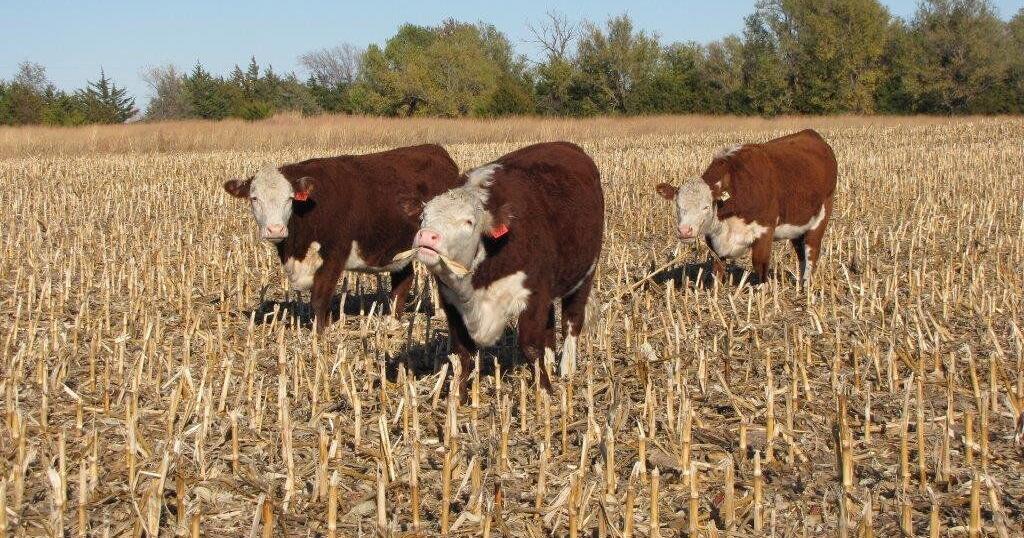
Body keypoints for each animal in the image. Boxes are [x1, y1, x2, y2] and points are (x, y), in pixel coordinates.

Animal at [223, 144, 461, 329]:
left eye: (289, 198)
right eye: (254, 198)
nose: (275, 230)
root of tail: (436, 150)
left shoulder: (333, 256)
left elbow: (319, 300)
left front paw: (319, 338)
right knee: (404, 279)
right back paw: (392, 321)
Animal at [408, 142, 604, 393]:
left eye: (469, 221)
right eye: (423, 216)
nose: (427, 236)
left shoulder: (533, 295)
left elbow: (531, 347)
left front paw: (544, 390)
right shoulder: (451, 303)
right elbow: (462, 355)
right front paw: (458, 396)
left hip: (584, 275)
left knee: (572, 320)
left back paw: (566, 367)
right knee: (550, 326)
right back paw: (551, 361)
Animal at [655, 129, 837, 286]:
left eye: (706, 207)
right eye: (678, 205)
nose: (685, 231)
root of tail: (811, 134)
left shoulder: (765, 231)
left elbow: (760, 266)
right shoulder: (713, 239)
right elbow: (717, 269)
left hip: (821, 217)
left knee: (811, 252)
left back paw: (806, 286)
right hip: (798, 225)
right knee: (801, 254)